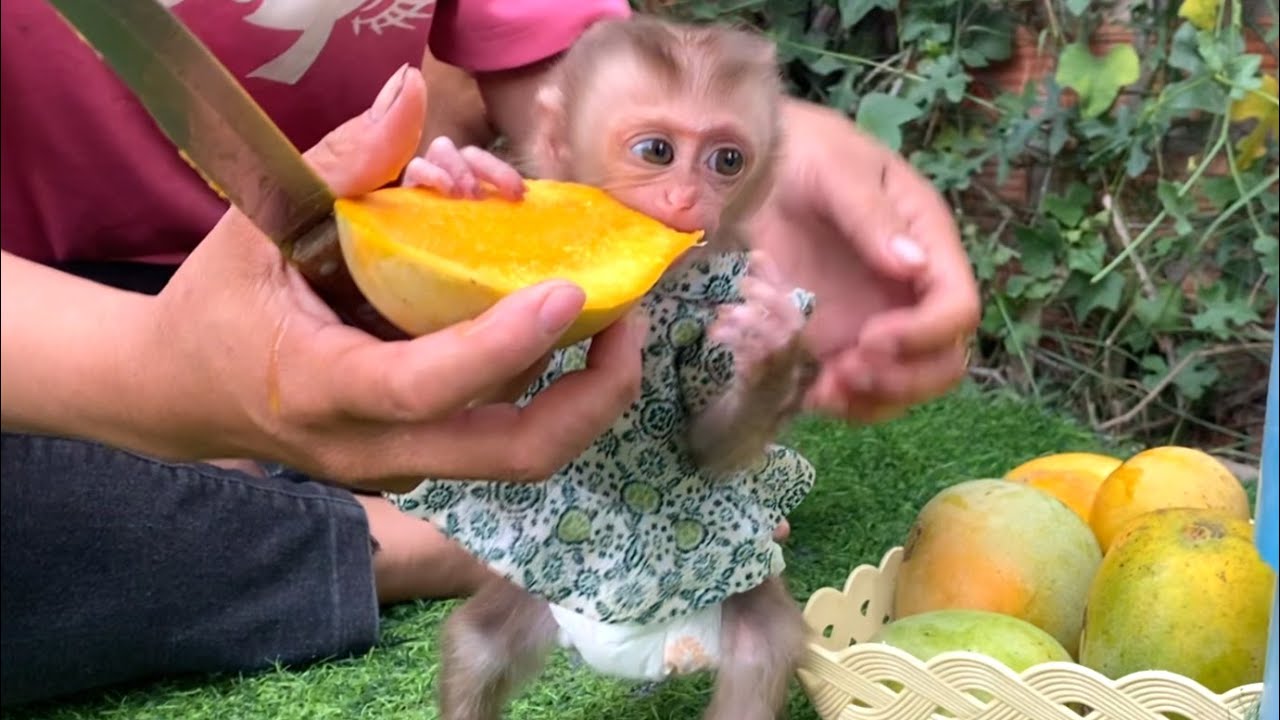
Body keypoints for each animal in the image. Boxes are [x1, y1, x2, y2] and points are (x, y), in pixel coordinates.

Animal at [393, 17, 819, 720]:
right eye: (657, 152)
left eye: (727, 160)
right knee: (479, 645)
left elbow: (709, 449)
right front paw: (454, 173)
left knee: (762, 649)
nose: (687, 198)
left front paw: (771, 351)